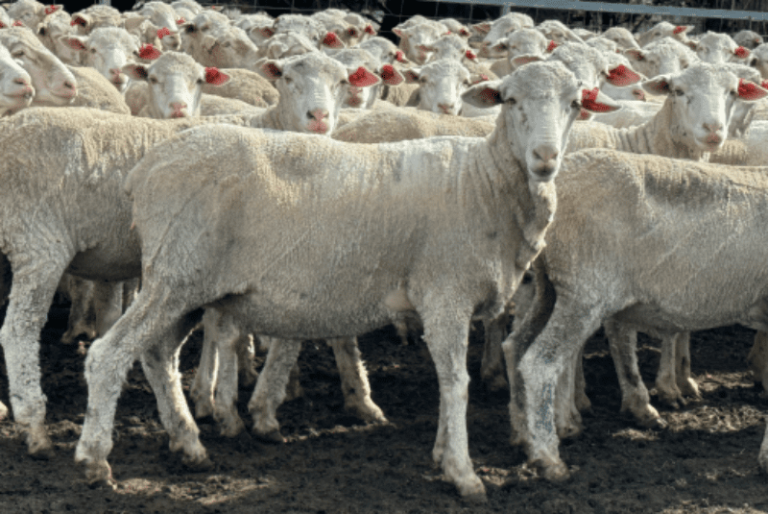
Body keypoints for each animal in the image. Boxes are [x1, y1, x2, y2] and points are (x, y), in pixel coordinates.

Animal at [73, 60, 618, 499]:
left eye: (575, 104)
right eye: (509, 100)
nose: (545, 158)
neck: (484, 182)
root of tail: (147, 169)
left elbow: (449, 382)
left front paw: (443, 454)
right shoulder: (446, 293)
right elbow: (456, 382)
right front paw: (464, 473)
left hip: (187, 285)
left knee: (157, 356)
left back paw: (188, 444)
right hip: (175, 275)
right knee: (108, 355)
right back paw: (95, 460)